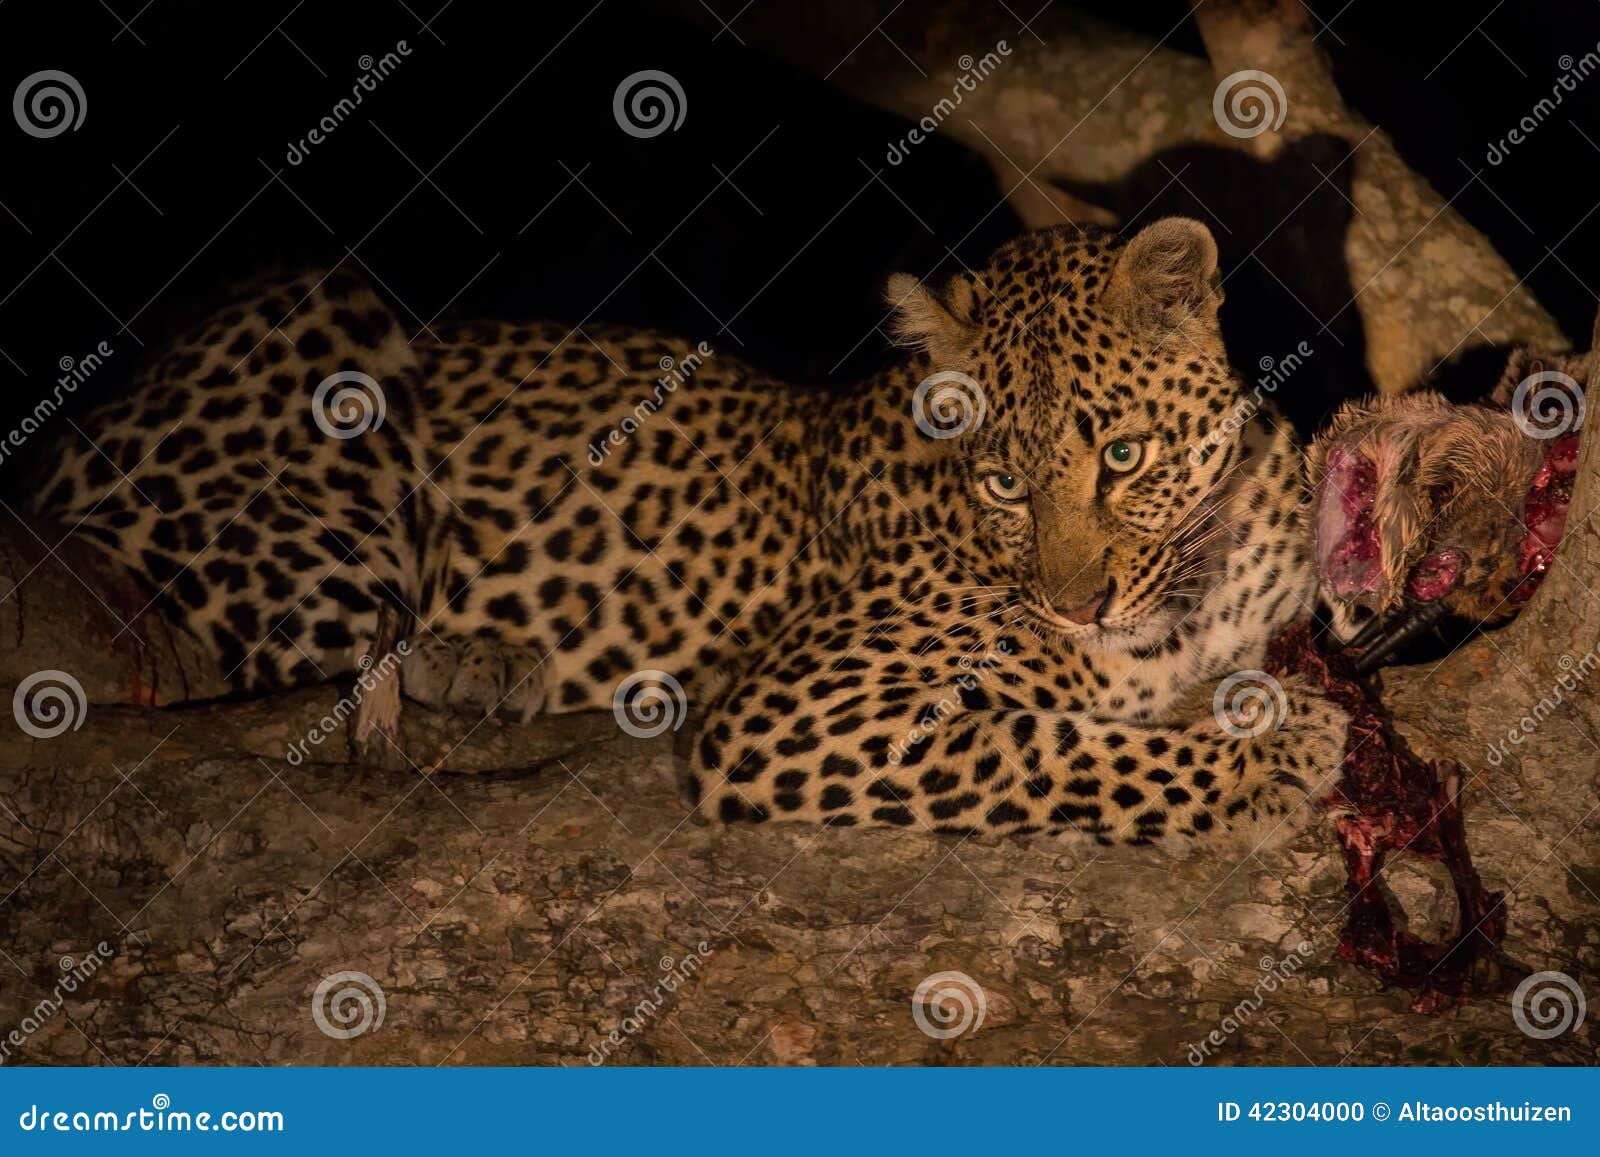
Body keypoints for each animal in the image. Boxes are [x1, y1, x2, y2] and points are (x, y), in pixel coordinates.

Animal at [26, 217, 1349, 847]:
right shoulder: (797, 714)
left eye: (1120, 456)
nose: (1077, 606)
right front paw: (1281, 750)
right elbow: (1061, 749)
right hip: (327, 318)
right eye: (1004, 483)